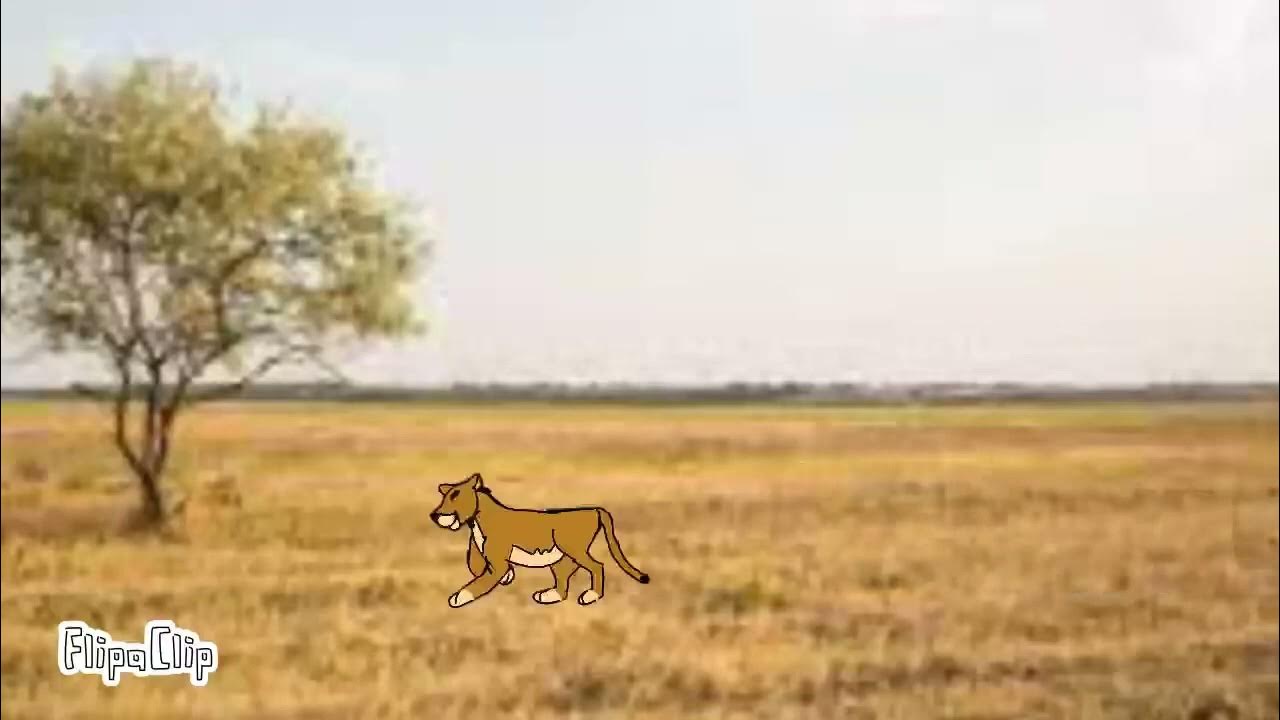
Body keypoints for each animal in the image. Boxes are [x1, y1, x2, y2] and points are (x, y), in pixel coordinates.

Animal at [429, 473, 651, 608]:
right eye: (445, 496)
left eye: (455, 495)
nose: (434, 515)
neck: (476, 520)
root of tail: (594, 509)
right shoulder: (482, 552)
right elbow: (475, 566)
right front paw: (508, 577)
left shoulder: (497, 561)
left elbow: (481, 580)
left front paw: (460, 597)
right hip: (562, 557)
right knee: (563, 580)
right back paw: (549, 595)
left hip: (574, 549)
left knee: (597, 566)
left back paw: (590, 596)